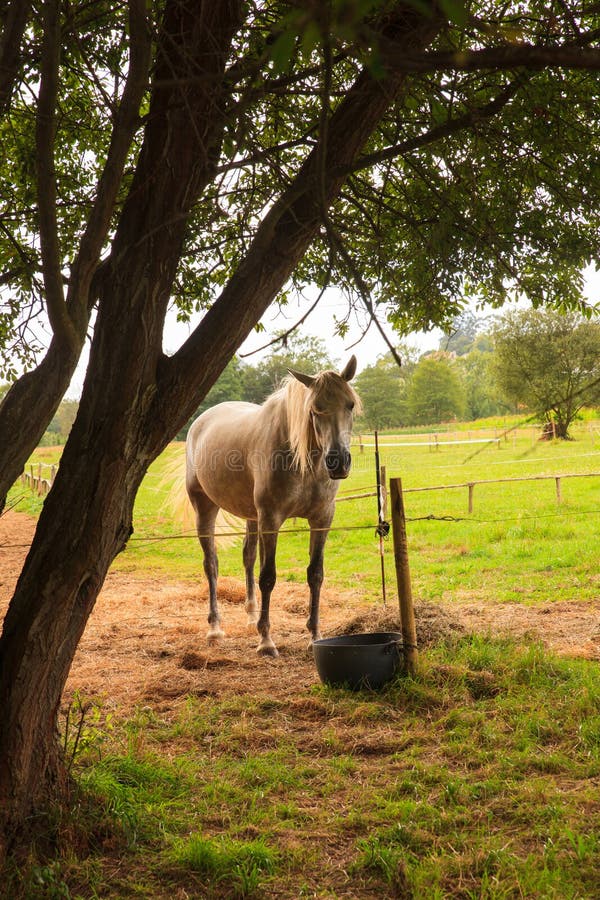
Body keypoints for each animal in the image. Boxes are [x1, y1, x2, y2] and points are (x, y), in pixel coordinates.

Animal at [185, 356, 360, 657]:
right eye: (315, 409)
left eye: (349, 404)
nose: (338, 462)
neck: (303, 462)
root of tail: (200, 422)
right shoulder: (271, 519)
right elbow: (268, 576)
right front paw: (266, 641)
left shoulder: (322, 519)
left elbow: (315, 574)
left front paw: (314, 635)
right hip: (205, 508)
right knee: (212, 565)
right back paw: (215, 628)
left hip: (251, 516)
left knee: (248, 557)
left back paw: (251, 617)